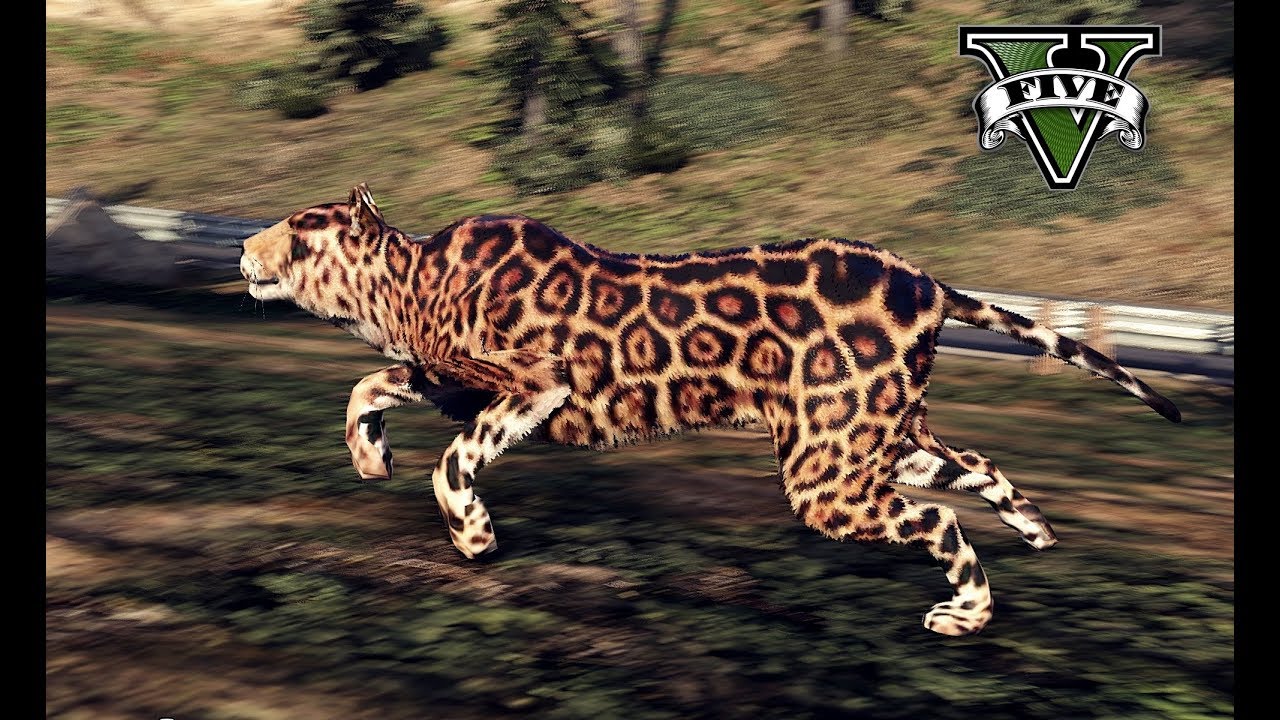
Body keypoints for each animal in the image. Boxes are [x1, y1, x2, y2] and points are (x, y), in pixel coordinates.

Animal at [240, 183, 1182, 635]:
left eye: (297, 226)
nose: (246, 247)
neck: (404, 281)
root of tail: (929, 281)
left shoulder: (535, 381)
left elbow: (452, 461)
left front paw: (474, 538)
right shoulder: (450, 378)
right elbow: (368, 386)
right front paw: (370, 456)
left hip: (826, 471)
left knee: (939, 520)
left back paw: (968, 613)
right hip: (874, 441)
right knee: (976, 469)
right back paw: (1039, 535)